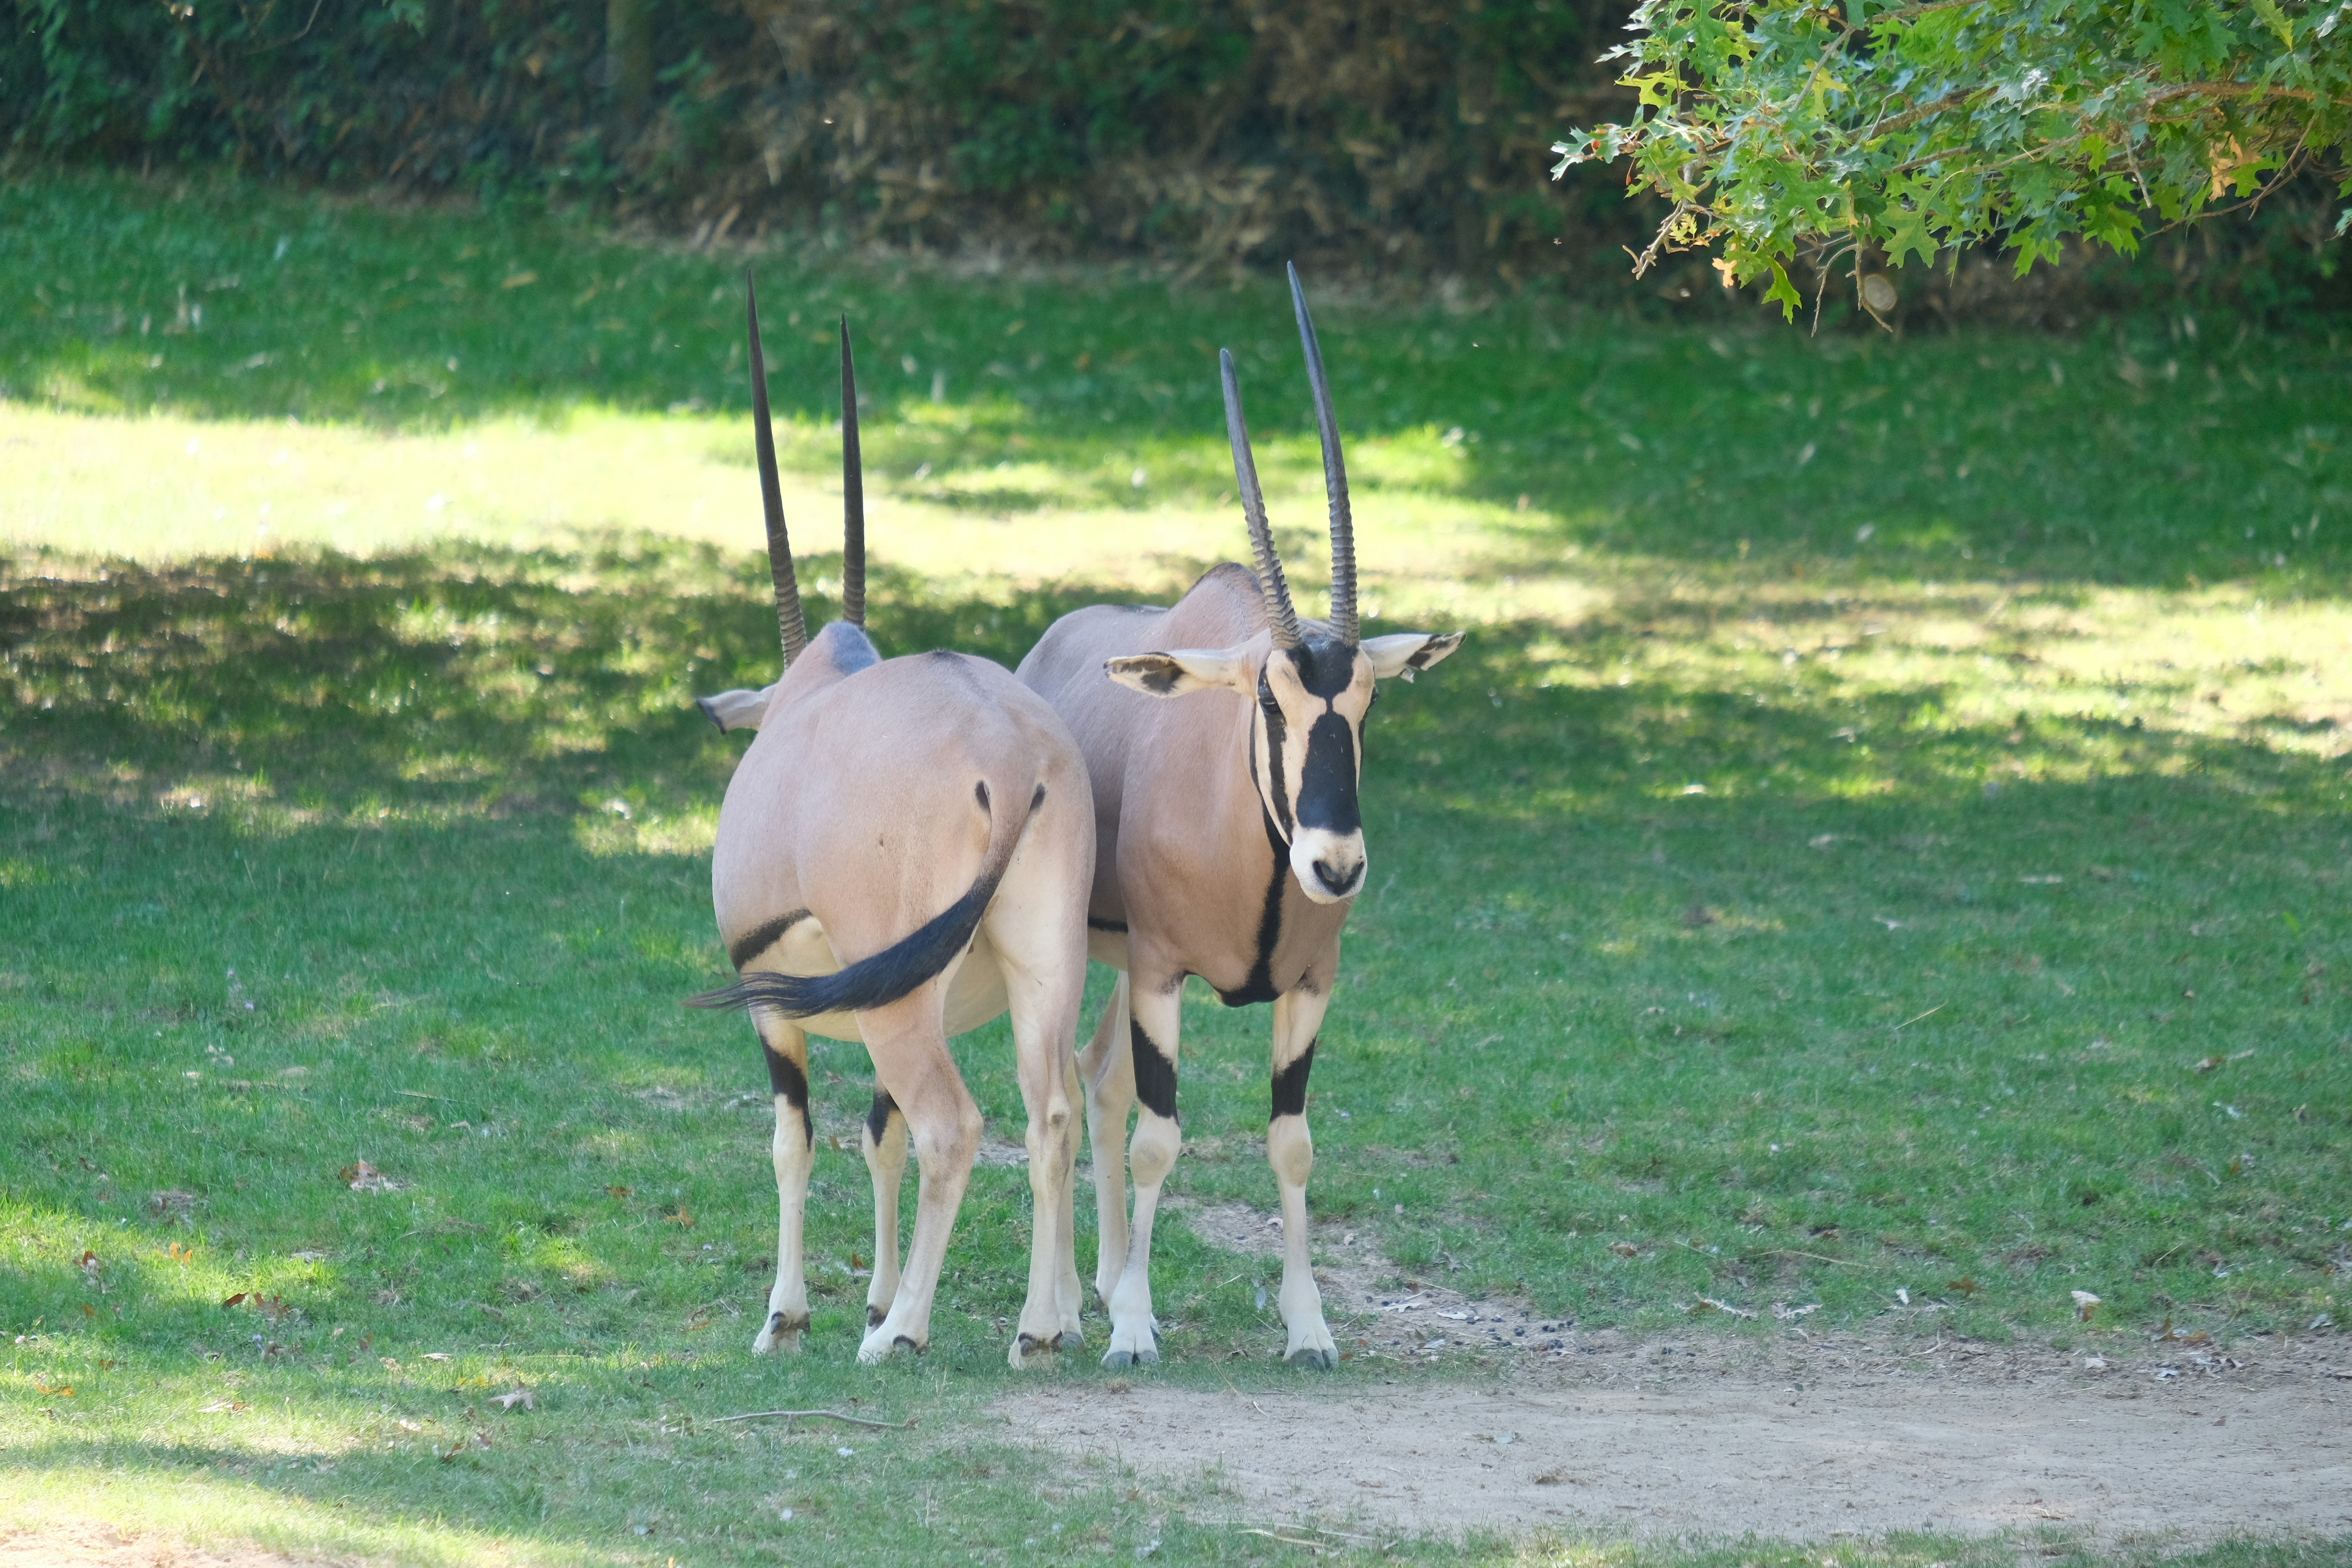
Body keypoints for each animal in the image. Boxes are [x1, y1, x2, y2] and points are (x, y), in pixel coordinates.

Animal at [687, 283, 1092, 1367]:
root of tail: (1015, 757)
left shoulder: (778, 1004)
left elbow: (797, 1141)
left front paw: (792, 1315)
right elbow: (881, 1135)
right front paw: (868, 1297)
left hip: (895, 998)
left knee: (957, 1125)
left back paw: (905, 1336)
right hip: (1039, 971)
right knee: (1052, 1115)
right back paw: (1037, 1330)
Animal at [1013, 266, 1460, 1367]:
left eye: (1368, 701)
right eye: (1269, 700)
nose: (1335, 865)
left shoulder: (1308, 988)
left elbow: (1290, 1144)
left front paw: (1308, 1326)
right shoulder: (1163, 976)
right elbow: (1159, 1138)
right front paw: (1135, 1329)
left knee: (1097, 1079)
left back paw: (1096, 1289)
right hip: (1081, 956)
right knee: (1069, 1091)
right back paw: (1074, 1309)